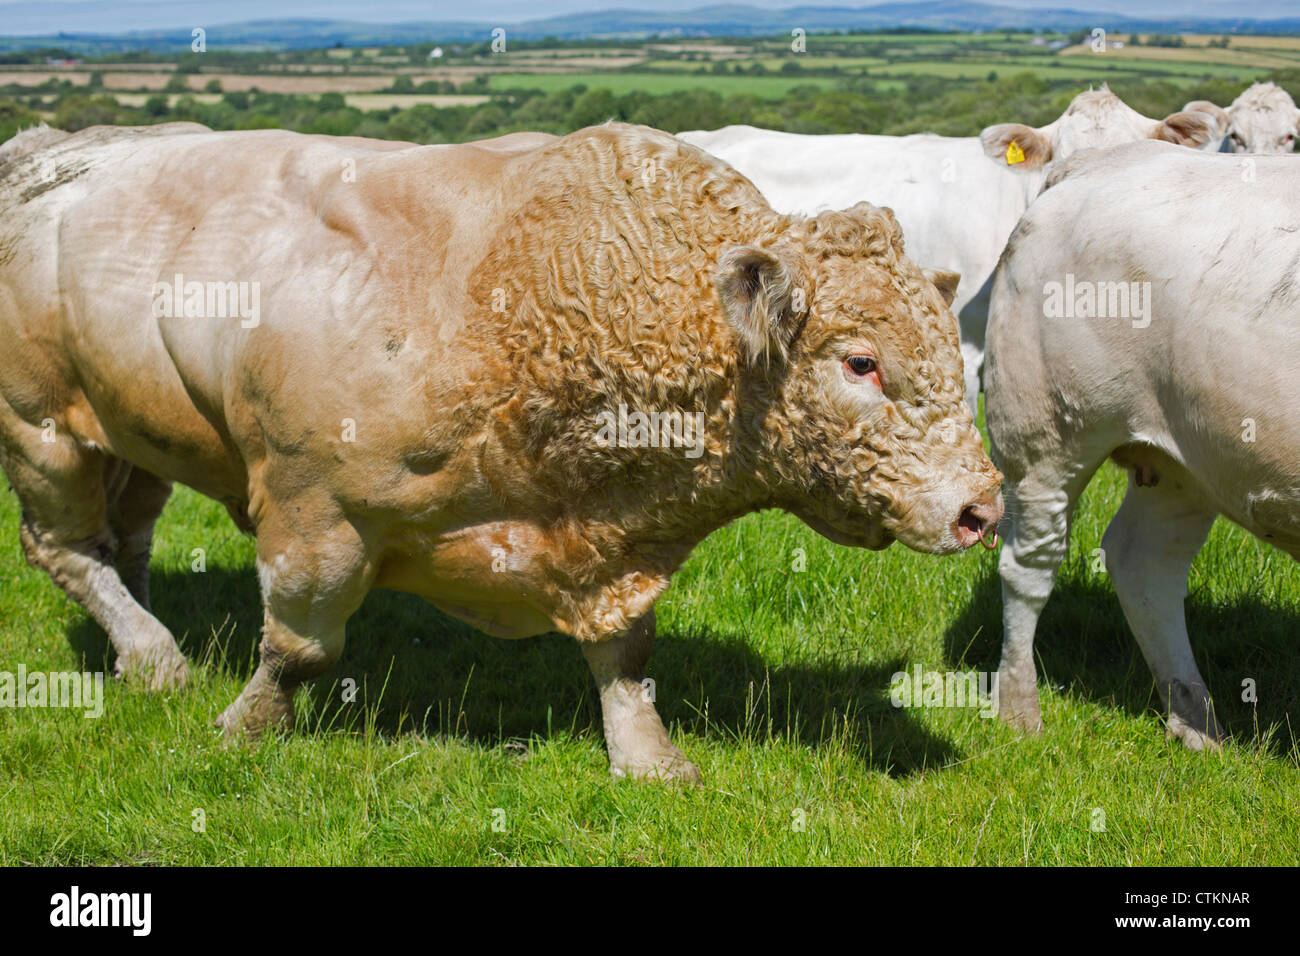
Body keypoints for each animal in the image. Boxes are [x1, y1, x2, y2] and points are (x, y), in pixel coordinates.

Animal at [0, 120, 1003, 782]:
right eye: (862, 362)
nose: (981, 509)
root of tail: (46, 146)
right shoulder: (311, 509)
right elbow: (299, 648)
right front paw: (247, 727)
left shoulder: (609, 542)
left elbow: (625, 656)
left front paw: (648, 757)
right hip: (42, 431)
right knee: (65, 549)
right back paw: (155, 656)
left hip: (133, 433)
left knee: (125, 538)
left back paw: (145, 635)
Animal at [985, 139, 1300, 750]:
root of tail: (1102, 158)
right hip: (1045, 435)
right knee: (1027, 567)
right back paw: (1019, 712)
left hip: (1190, 458)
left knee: (1144, 561)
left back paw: (1197, 723)